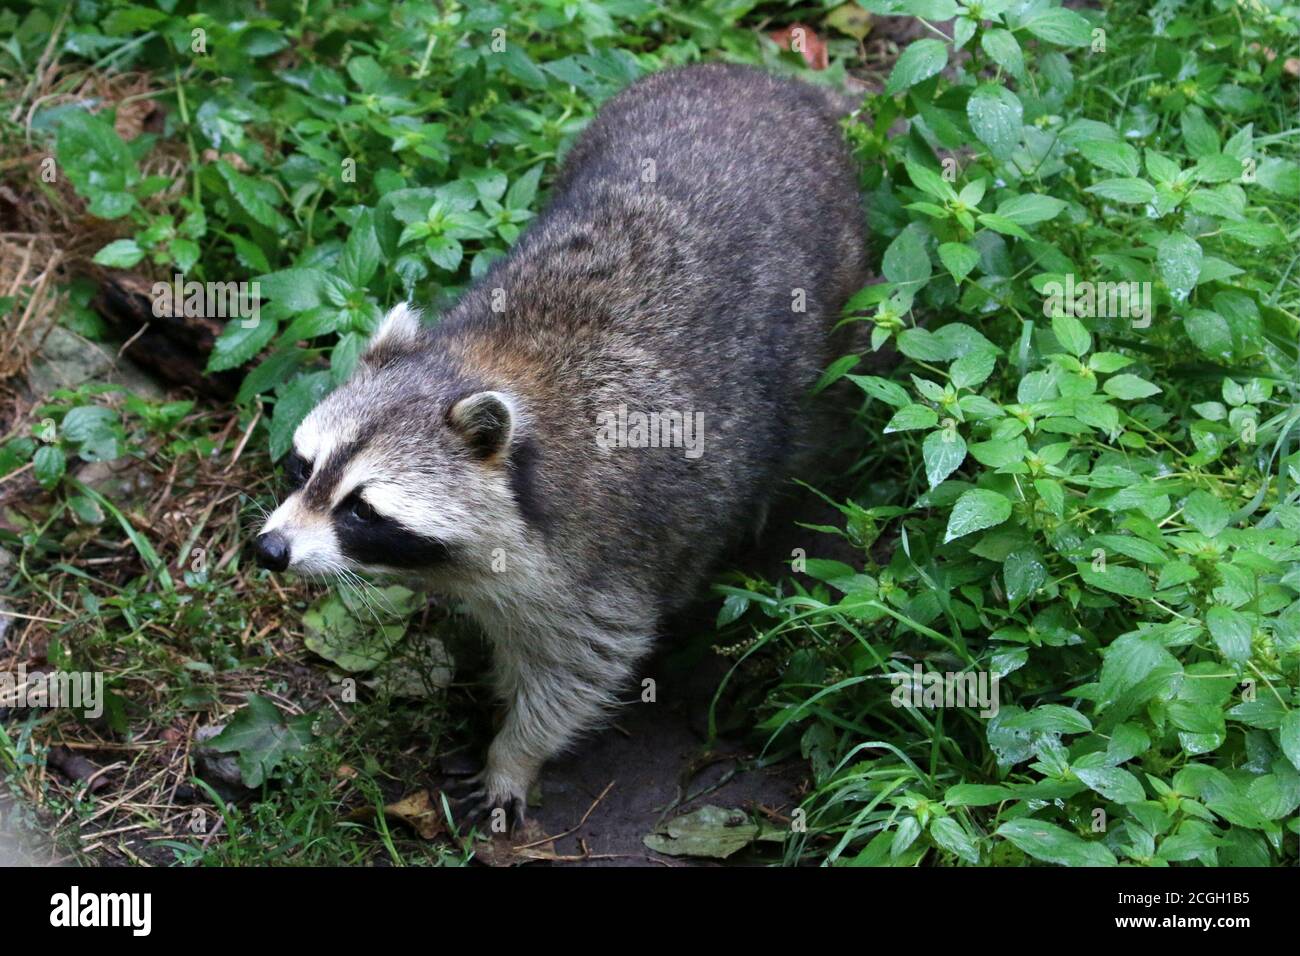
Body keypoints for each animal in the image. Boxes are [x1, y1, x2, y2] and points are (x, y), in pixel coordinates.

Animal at [253, 63, 867, 826]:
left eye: (360, 510)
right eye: (303, 466)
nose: (269, 549)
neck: (481, 367)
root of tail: (768, 79)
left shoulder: (606, 553)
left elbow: (582, 663)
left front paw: (514, 753)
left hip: (839, 295)